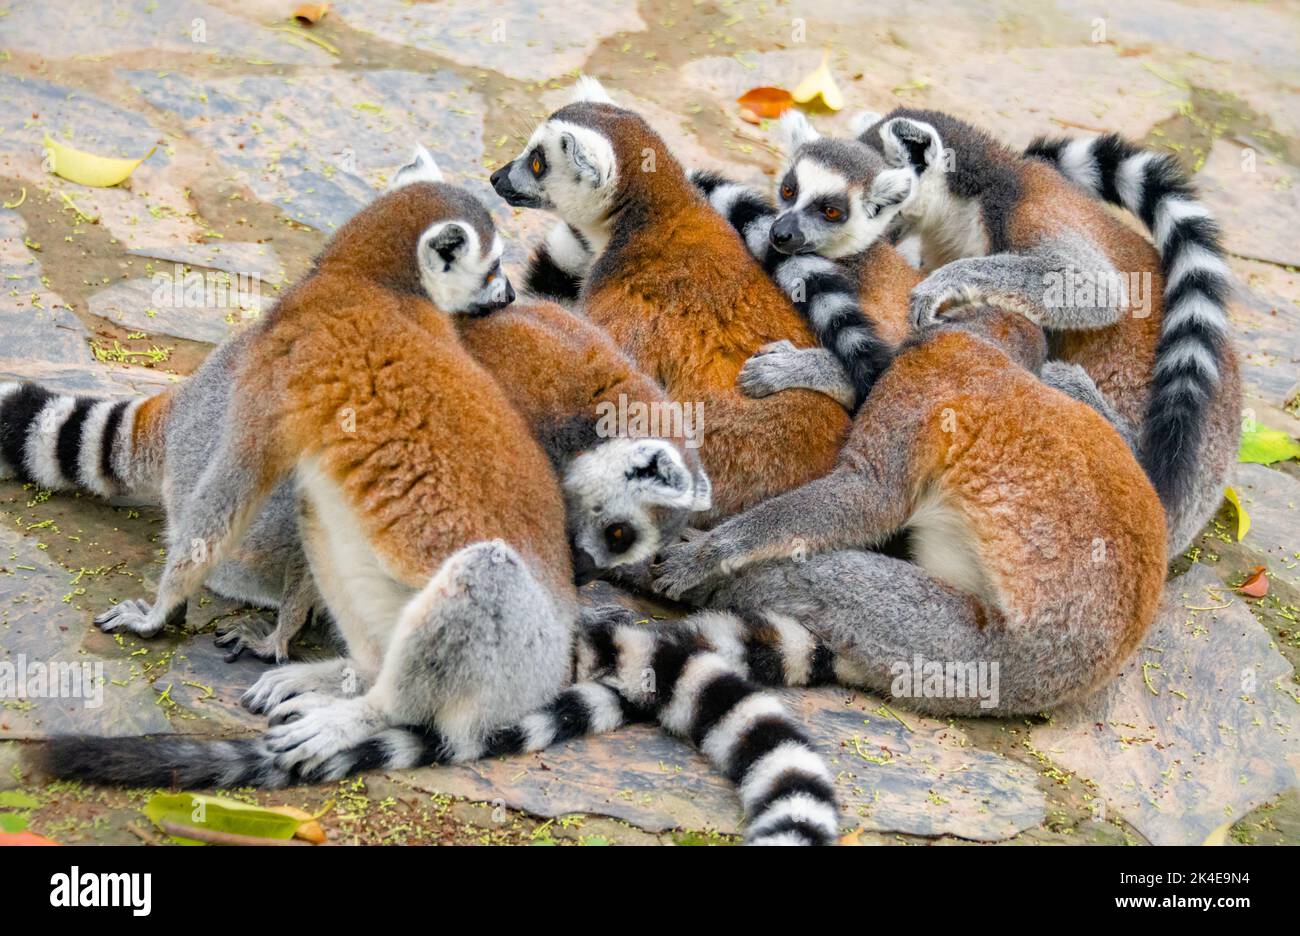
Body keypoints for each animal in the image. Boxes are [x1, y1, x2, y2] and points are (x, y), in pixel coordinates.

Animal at [647, 302, 1168, 716]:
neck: (985, 347)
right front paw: (819, 370)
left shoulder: (922, 387)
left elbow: (869, 496)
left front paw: (711, 554)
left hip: (975, 650)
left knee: (830, 583)